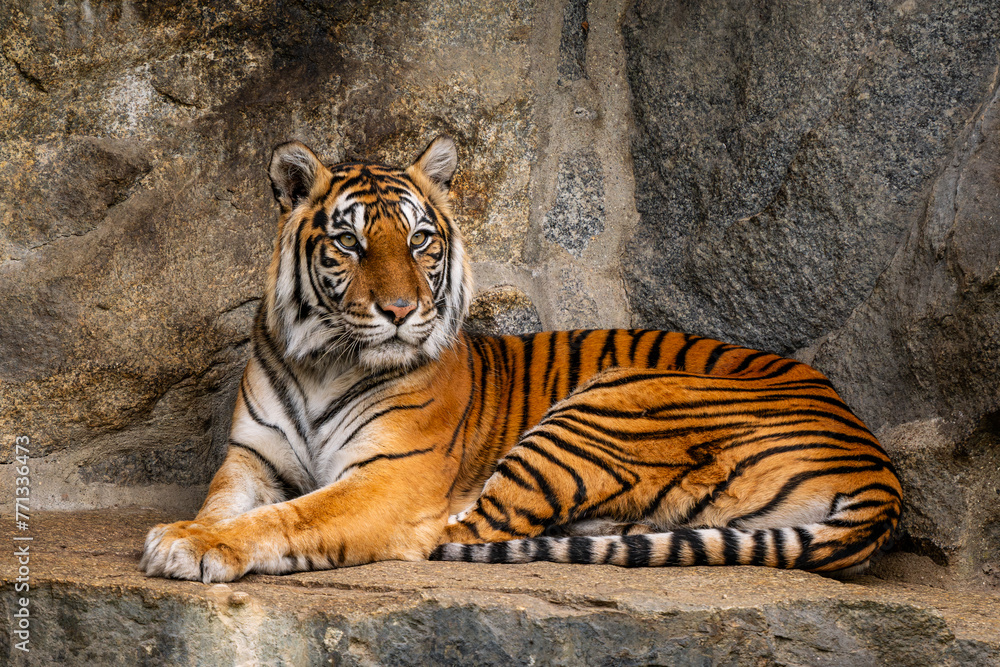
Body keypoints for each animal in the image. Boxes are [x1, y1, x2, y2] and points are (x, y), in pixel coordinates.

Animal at [140, 135, 902, 583]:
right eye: (350, 243)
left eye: (420, 240)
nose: (400, 311)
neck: (323, 362)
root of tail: (879, 467)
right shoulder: (252, 460)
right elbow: (222, 504)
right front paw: (195, 531)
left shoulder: (391, 478)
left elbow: (294, 517)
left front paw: (193, 545)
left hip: (610, 400)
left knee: (473, 526)